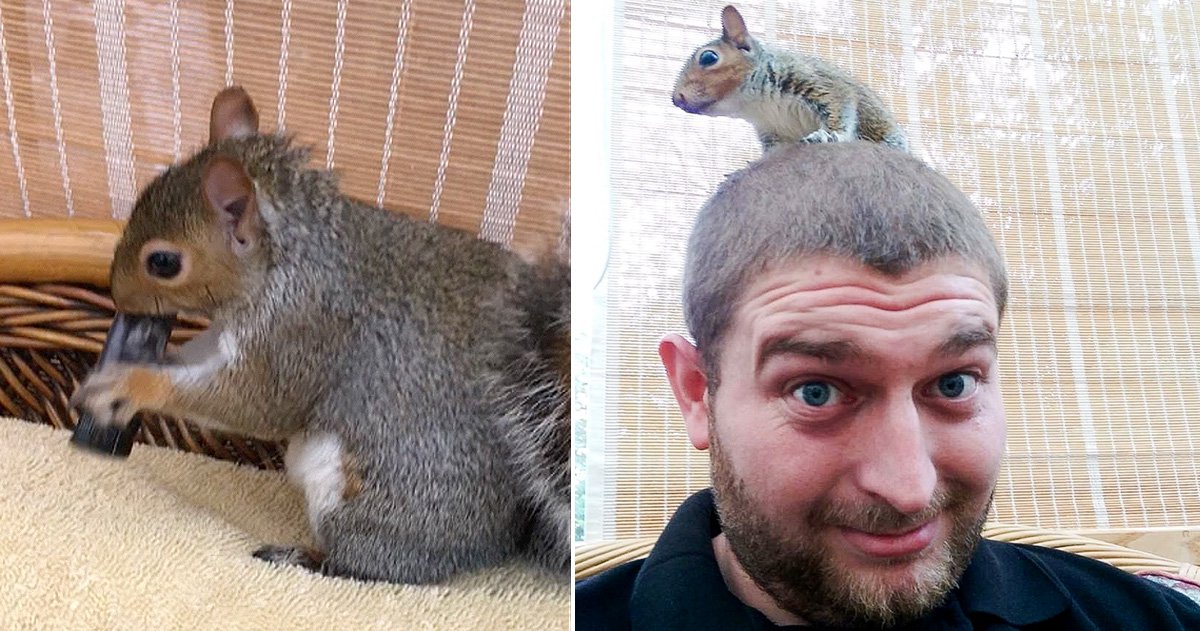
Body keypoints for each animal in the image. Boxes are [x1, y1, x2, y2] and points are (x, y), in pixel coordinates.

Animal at [70, 86, 570, 584]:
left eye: (163, 263)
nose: (117, 294)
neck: (291, 256)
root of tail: (502, 542)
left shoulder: (302, 330)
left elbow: (255, 405)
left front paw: (131, 386)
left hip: (363, 506)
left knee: (369, 566)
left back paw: (304, 557)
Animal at [672, 5, 908, 153]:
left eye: (709, 57)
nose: (676, 99)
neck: (756, 103)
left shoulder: (820, 84)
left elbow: (839, 112)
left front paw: (826, 135)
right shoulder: (770, 131)